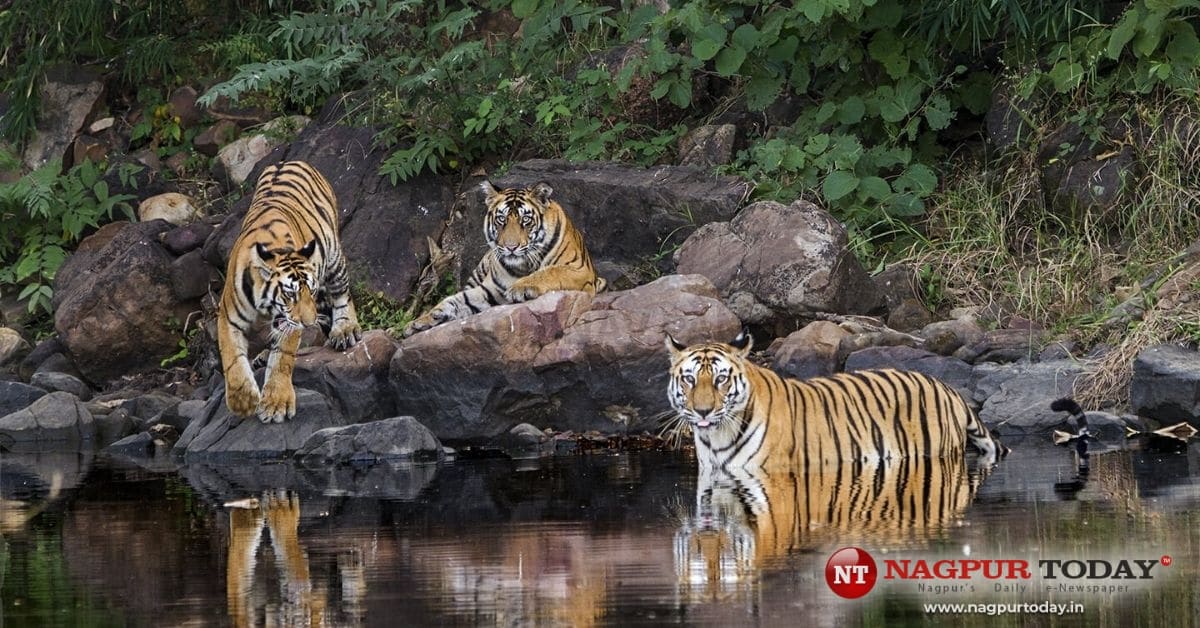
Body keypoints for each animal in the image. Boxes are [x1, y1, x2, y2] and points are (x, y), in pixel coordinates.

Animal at [217, 160, 362, 423]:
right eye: (290, 294)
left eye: (310, 292)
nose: (309, 322)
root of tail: (286, 161)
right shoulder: (228, 317)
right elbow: (232, 357)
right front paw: (243, 401)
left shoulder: (290, 322)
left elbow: (283, 357)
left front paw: (276, 403)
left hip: (333, 255)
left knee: (341, 294)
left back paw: (344, 329)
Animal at [402, 180, 604, 337]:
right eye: (501, 219)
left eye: (525, 220)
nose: (511, 247)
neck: (523, 265)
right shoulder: (489, 290)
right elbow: (456, 300)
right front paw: (421, 320)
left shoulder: (580, 270)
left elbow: (551, 271)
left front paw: (520, 288)